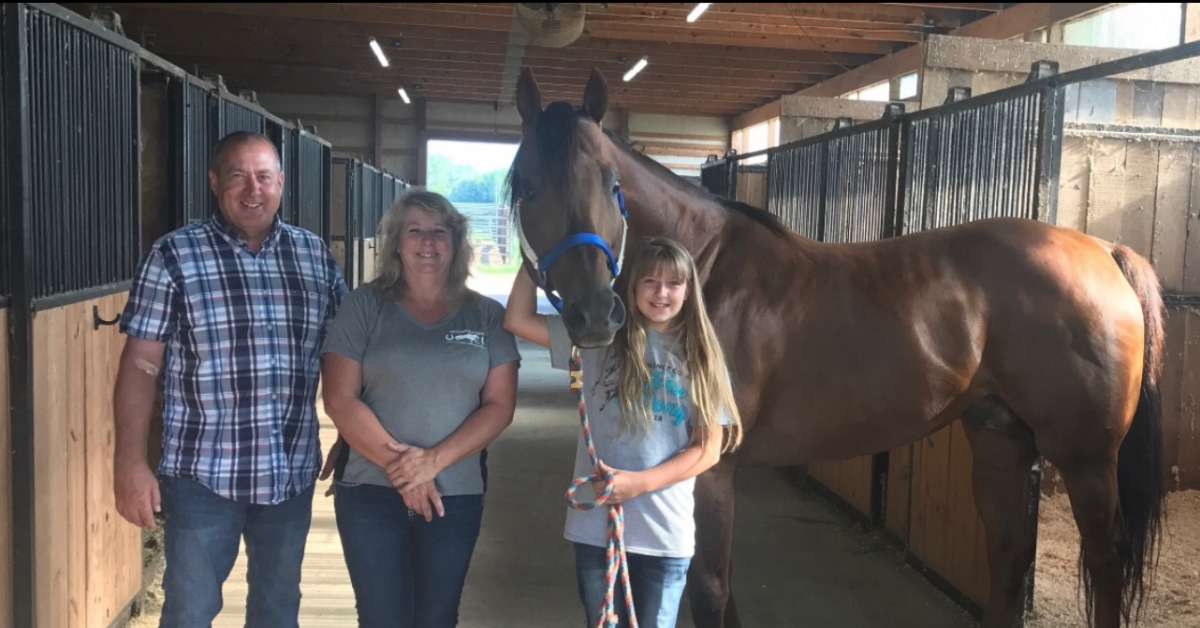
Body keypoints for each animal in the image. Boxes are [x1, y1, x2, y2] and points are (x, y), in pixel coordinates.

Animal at [507, 68, 1165, 628]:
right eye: (525, 185)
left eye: (611, 183)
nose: (594, 313)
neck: (703, 274)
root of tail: (1103, 250)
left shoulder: (713, 467)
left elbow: (711, 589)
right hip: (1000, 436)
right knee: (1008, 558)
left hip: (1085, 457)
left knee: (1104, 565)